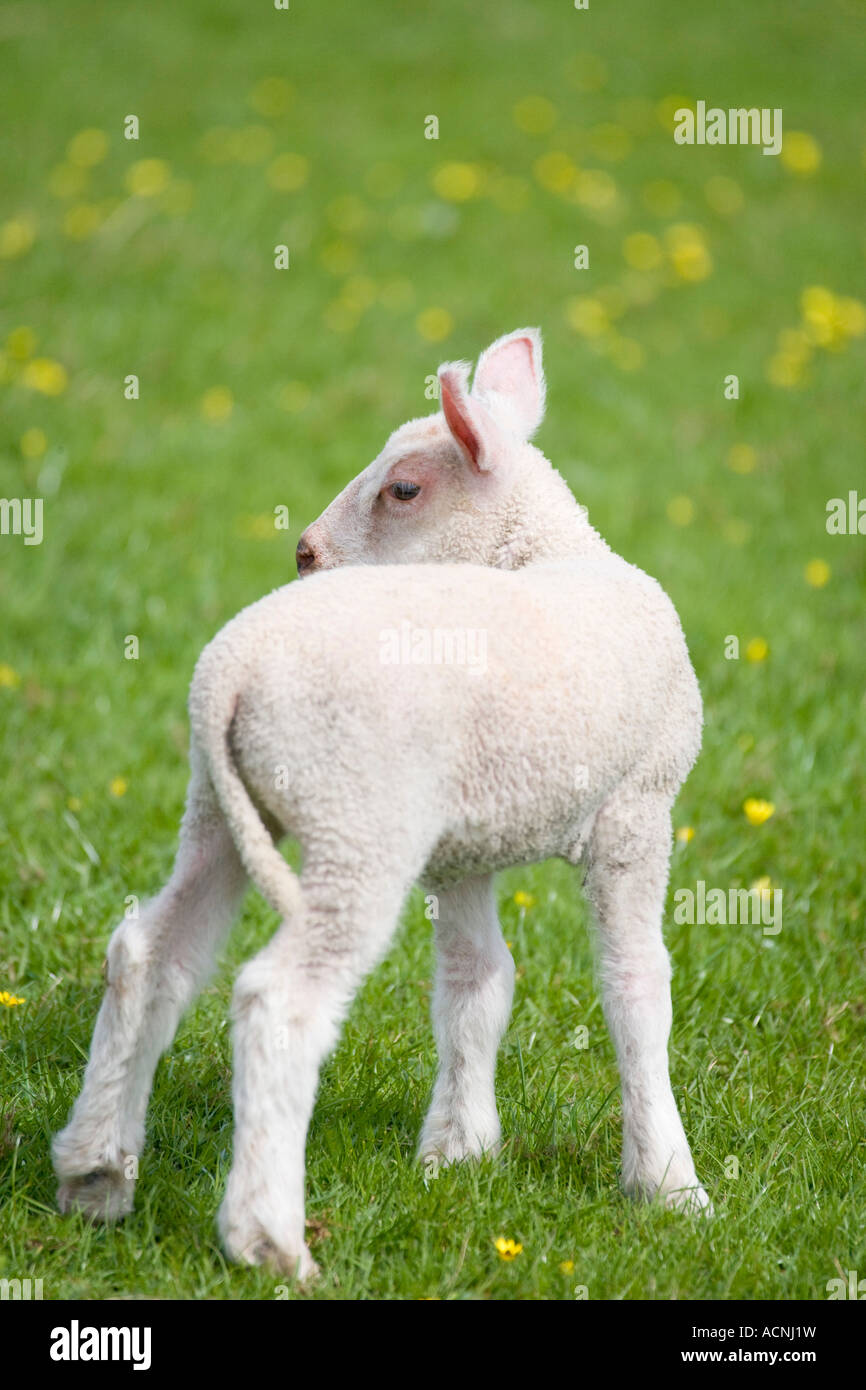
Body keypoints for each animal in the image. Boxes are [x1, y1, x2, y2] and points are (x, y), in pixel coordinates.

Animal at [53, 328, 709, 1280]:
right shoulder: (639, 811)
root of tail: (233, 672)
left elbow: (477, 985)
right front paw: (669, 1181)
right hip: (359, 820)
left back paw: (96, 1172)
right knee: (277, 1000)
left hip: (222, 809)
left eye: (403, 488)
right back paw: (268, 1239)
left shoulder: (466, 842)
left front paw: (458, 1151)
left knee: (149, 955)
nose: (304, 554)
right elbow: (637, 992)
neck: (546, 554)